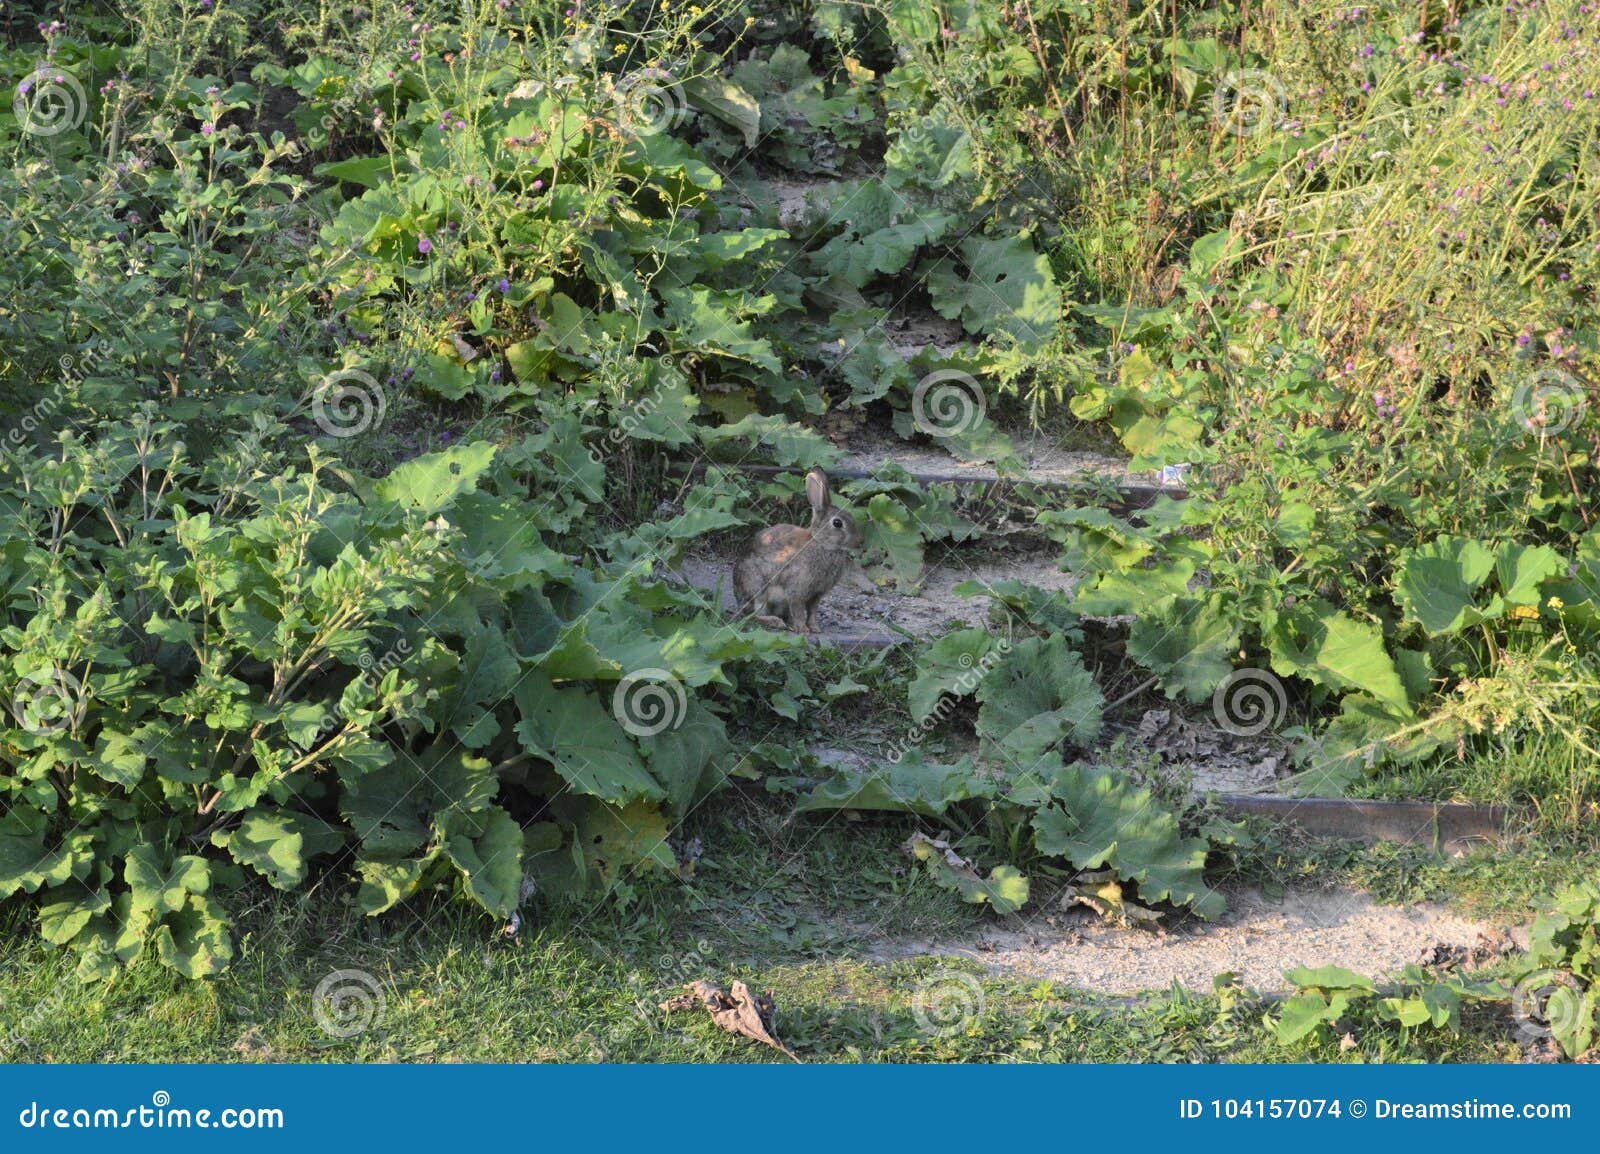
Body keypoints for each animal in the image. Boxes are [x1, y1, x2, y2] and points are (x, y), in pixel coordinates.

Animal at [733, 468, 863, 634]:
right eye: (837, 523)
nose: (860, 541)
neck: (821, 544)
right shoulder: (796, 590)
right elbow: (799, 610)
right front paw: (803, 629)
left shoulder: (817, 594)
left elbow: (812, 611)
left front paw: (815, 628)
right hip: (757, 589)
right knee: (753, 615)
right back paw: (776, 622)